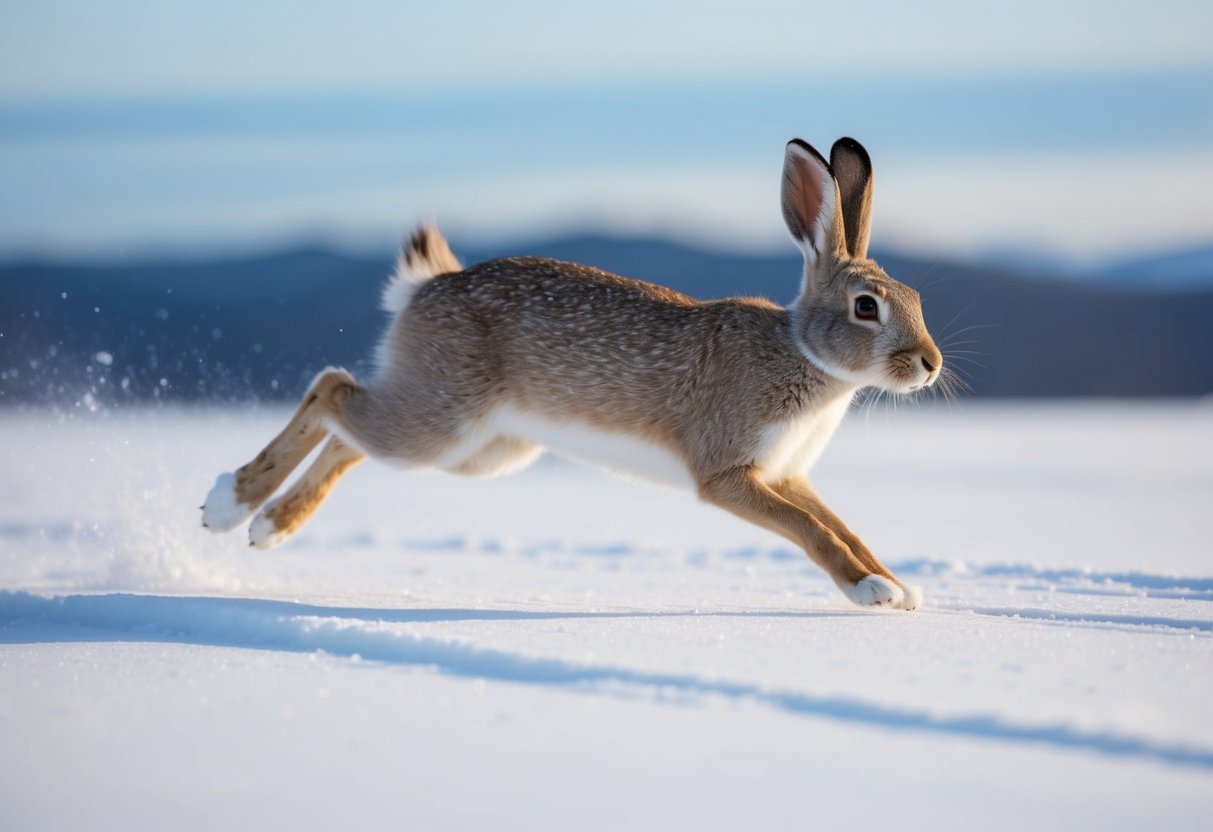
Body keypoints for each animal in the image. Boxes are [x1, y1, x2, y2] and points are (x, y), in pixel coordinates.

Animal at [202, 136, 942, 610]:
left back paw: (271, 526)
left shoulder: (786, 474)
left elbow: (840, 525)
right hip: (442, 422)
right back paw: (228, 503)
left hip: (477, 449)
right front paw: (873, 592)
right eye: (867, 307)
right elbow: (812, 531)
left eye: (915, 299)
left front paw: (900, 588)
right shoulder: (729, 474)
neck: (804, 352)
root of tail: (423, 289)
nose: (929, 365)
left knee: (350, 433)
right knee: (330, 390)